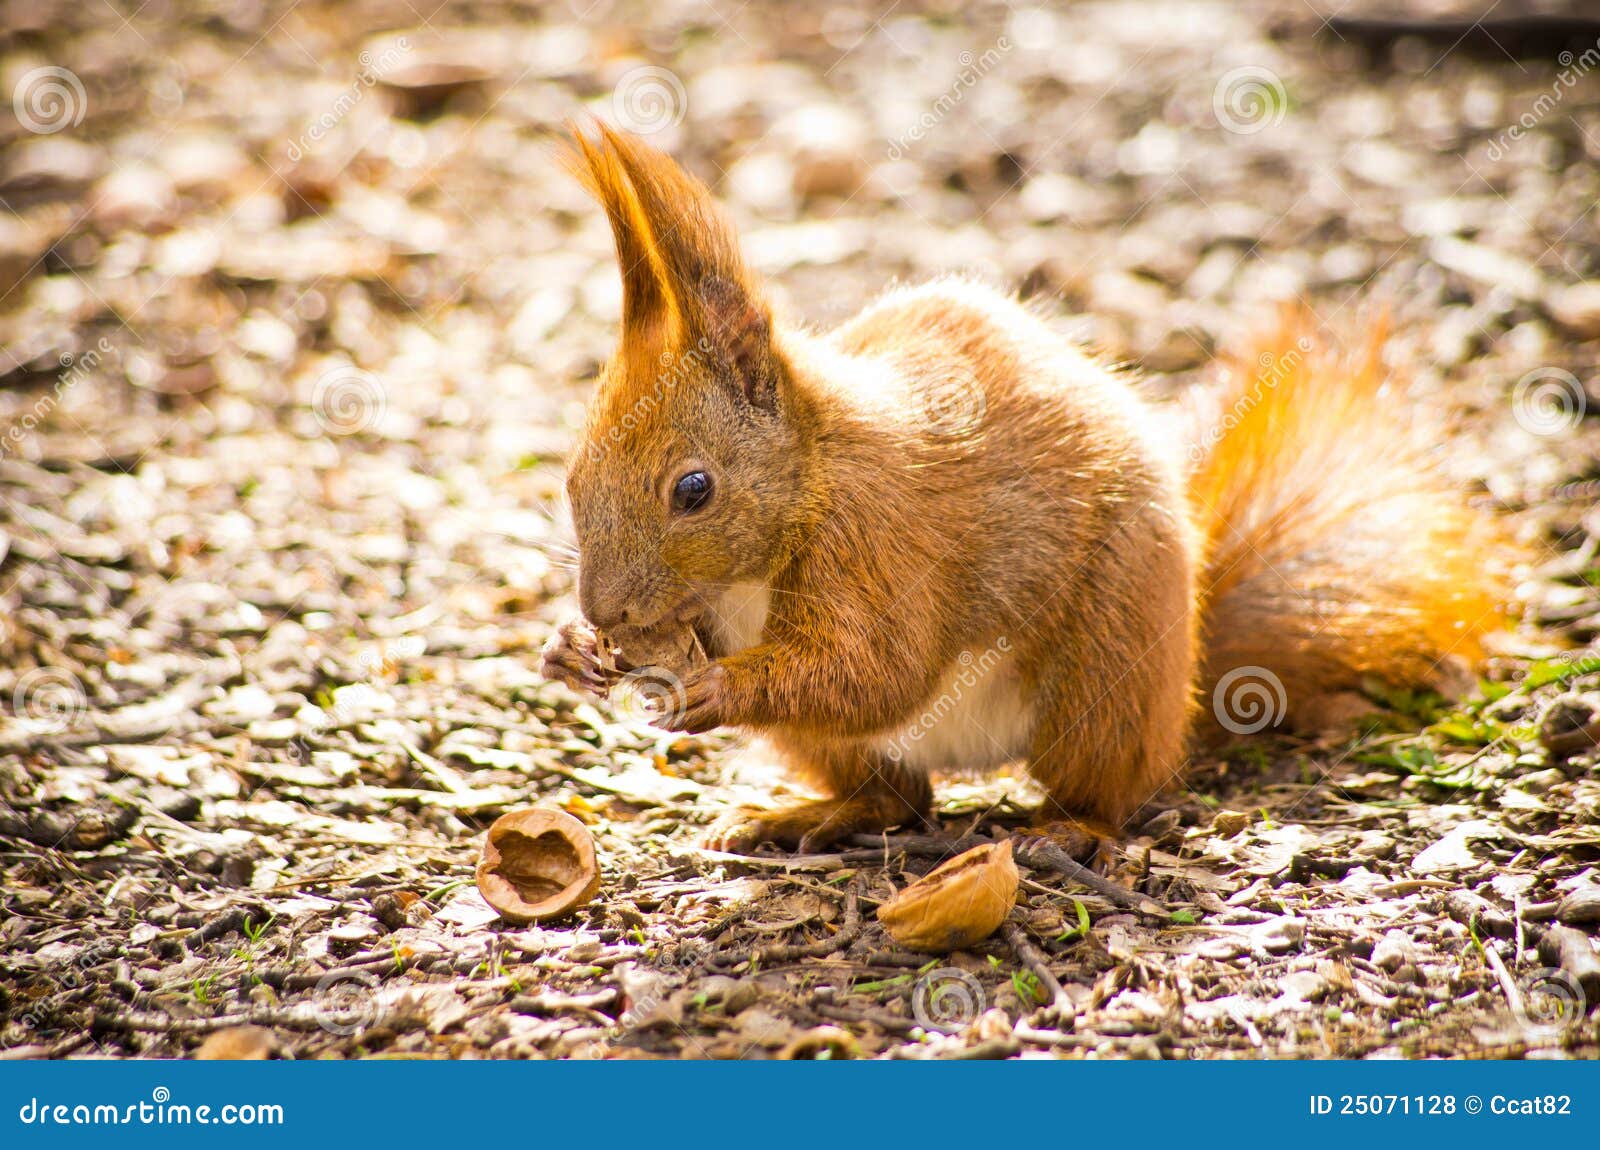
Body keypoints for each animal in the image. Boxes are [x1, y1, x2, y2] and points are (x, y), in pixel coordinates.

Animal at [542, 123, 1513, 855]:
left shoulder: (882, 539)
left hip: (1104, 670)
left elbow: (876, 669)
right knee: (901, 797)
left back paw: (1069, 828)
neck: (812, 477)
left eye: (693, 489)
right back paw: (808, 814)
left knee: (1103, 784)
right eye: (571, 476)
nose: (605, 609)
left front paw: (716, 689)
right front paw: (570, 651)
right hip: (847, 749)